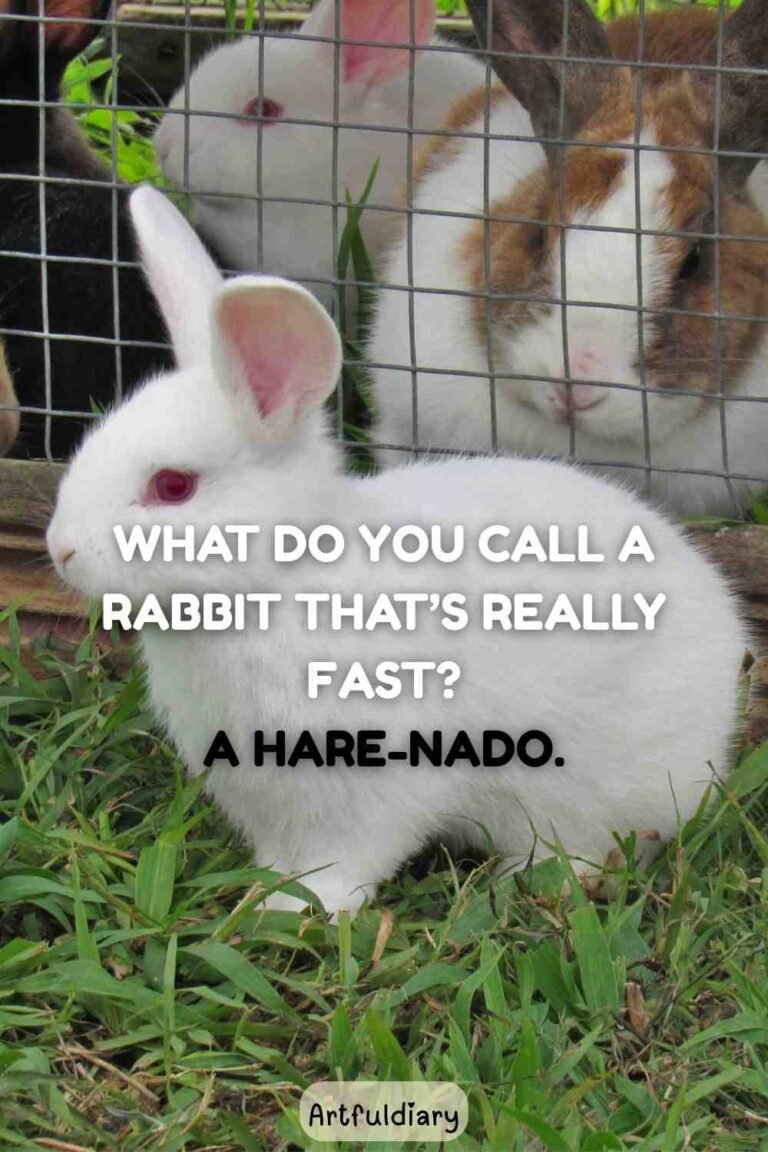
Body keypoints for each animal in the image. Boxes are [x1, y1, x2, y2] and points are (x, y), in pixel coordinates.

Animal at [46, 184, 747, 918]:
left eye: (173, 486)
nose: (61, 550)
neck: (277, 582)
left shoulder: (373, 785)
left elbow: (349, 859)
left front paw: (298, 911)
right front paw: (264, 893)